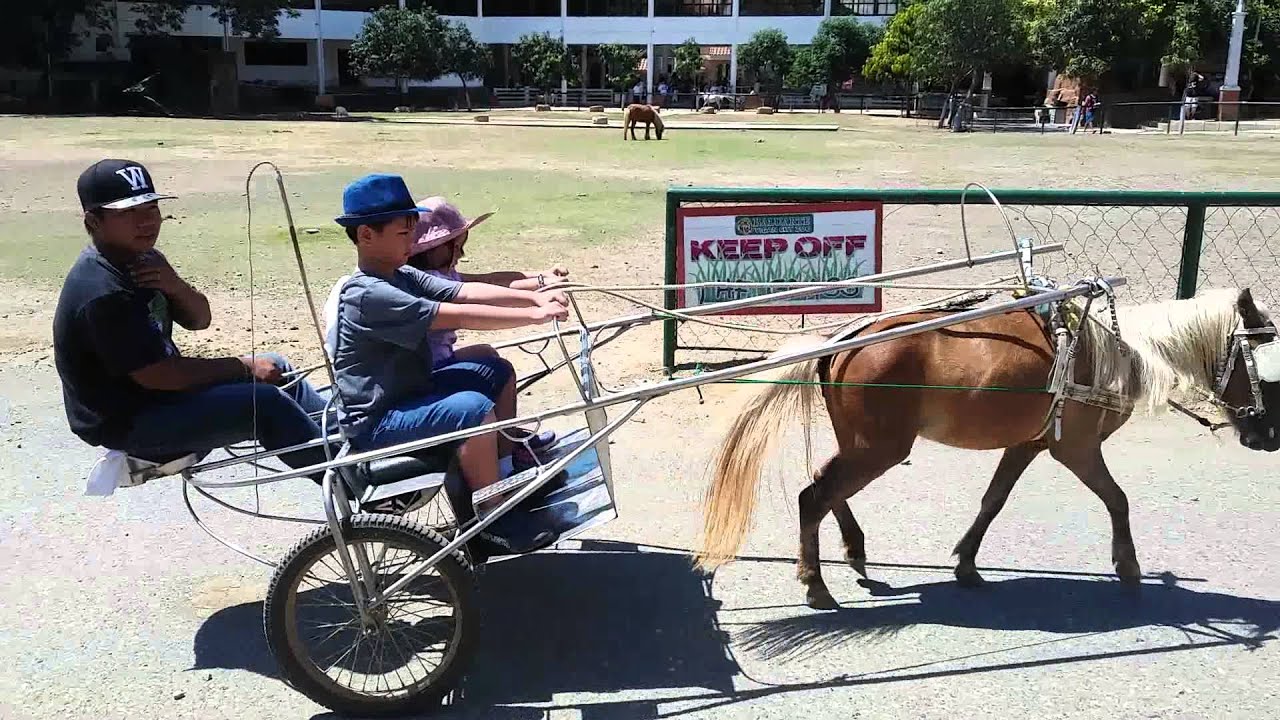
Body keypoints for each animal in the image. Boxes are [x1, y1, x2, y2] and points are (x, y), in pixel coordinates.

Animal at [694, 287, 1280, 610]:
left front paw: (967, 565)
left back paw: (855, 550)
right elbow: (1118, 500)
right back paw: (815, 585)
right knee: (814, 496)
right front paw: (1129, 569)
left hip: (862, 444)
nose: (1267, 437)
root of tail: (850, 339)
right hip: (878, 449)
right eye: (1266, 364)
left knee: (827, 488)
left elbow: (993, 502)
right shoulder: (1077, 449)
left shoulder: (1028, 445)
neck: (1115, 353)